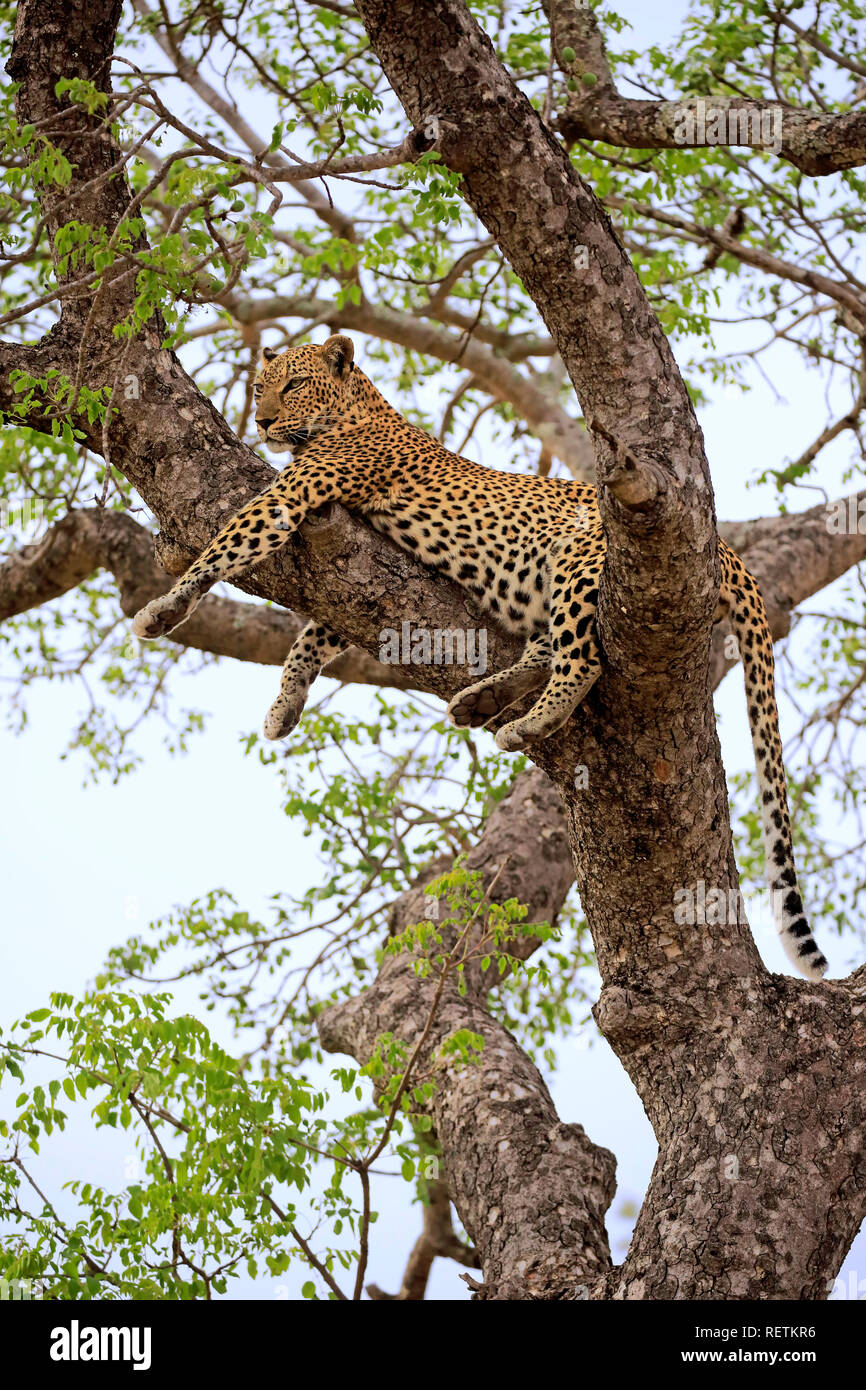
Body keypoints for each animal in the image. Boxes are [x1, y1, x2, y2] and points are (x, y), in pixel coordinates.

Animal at [132, 333, 828, 982]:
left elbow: (225, 544)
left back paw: (529, 720)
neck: (354, 410)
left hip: (579, 557)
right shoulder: (352, 567)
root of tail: (723, 547)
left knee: (582, 659)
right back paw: (482, 698)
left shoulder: (297, 496)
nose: (262, 422)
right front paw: (284, 707)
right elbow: (312, 637)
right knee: (550, 644)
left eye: (295, 385)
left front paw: (164, 607)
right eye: (259, 387)